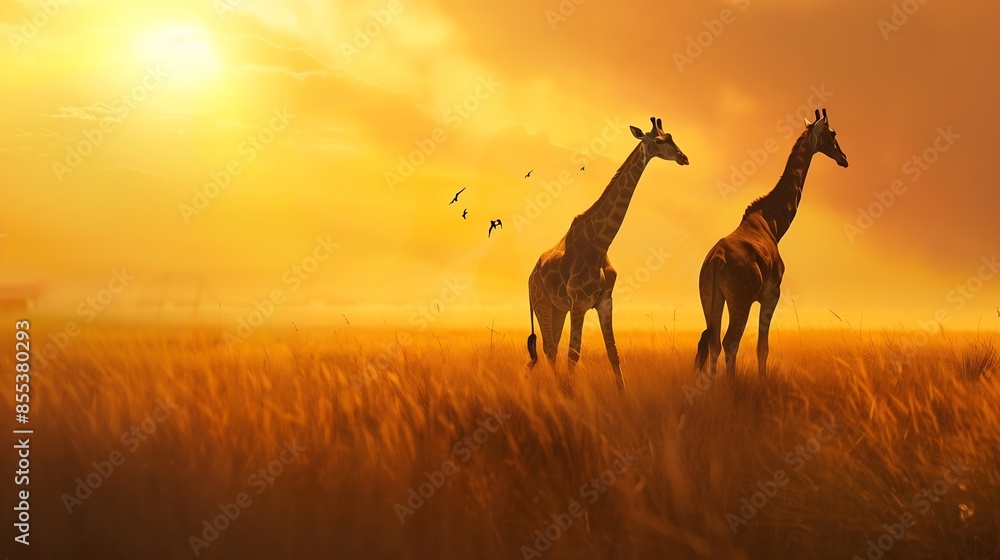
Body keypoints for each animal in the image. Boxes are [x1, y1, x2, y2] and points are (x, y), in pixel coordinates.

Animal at [526, 116, 689, 394]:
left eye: (671, 136)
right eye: (657, 141)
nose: (683, 157)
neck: (601, 244)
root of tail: (530, 276)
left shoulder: (605, 301)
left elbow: (613, 352)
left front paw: (623, 396)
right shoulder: (579, 302)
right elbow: (574, 353)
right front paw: (571, 396)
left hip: (558, 309)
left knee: (552, 348)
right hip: (542, 304)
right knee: (549, 348)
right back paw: (558, 392)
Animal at [695, 108, 848, 379]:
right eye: (833, 133)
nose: (844, 159)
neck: (773, 224)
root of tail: (716, 261)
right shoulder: (771, 294)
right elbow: (762, 347)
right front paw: (763, 382)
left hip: (710, 297)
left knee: (712, 342)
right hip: (740, 300)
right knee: (730, 341)